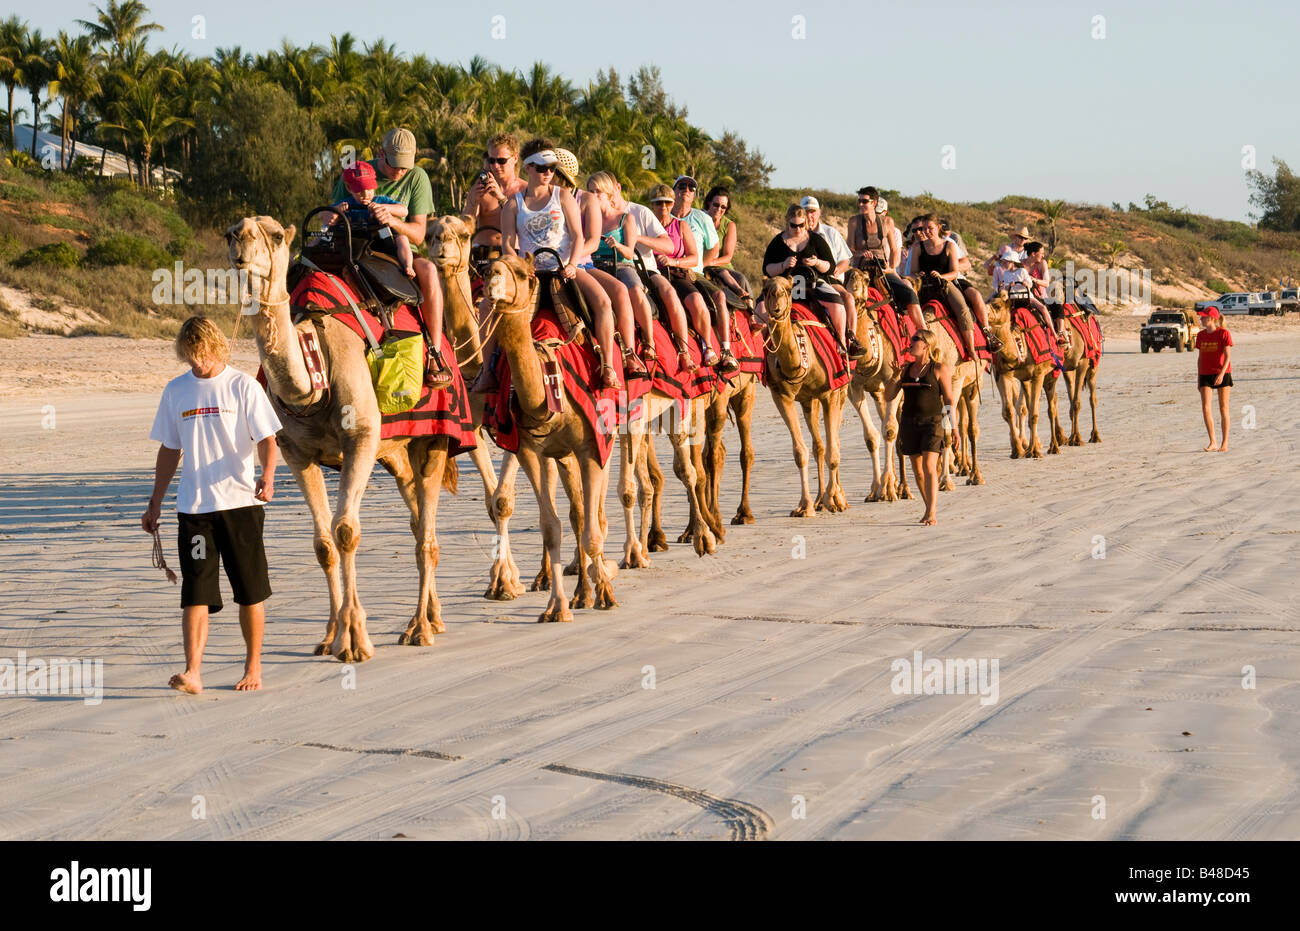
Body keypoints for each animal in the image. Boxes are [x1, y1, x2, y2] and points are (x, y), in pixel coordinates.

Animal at [227, 216, 456, 662]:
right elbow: (323, 544)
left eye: (275, 235)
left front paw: (355, 641)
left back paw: (421, 629)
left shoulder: (361, 437)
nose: (238, 242)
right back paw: (432, 618)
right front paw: (331, 636)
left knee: (427, 535)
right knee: (417, 517)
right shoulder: (296, 452)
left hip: (437, 434)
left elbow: (346, 530)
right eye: (233, 230)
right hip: (396, 451)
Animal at [480, 253, 617, 623]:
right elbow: (551, 528)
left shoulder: (590, 447)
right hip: (561, 455)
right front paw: (557, 606)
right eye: (490, 266)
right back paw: (581, 592)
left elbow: (592, 532)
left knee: (594, 515)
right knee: (577, 513)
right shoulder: (529, 452)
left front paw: (605, 592)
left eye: (521, 272)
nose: (492, 275)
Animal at [760, 276, 849, 517]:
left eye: (788, 288)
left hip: (841, 390)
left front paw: (832, 500)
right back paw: (818, 500)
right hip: (810, 401)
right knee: (819, 445)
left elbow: (833, 451)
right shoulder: (782, 397)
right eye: (766, 289)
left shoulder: (830, 393)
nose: (777, 305)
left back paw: (838, 498)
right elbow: (800, 452)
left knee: (835, 442)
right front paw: (805, 505)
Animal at [843, 267, 904, 502]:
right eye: (845, 277)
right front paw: (877, 488)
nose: (854, 291)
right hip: (879, 393)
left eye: (867, 278)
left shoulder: (895, 378)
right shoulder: (855, 388)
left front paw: (888, 487)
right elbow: (871, 436)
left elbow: (889, 430)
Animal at [985, 293, 1062, 459]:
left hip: (1051, 373)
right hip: (1026, 380)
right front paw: (1017, 450)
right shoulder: (1003, 374)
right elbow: (1009, 411)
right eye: (985, 301)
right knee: (1027, 404)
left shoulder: (1038, 374)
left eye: (997, 306)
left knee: (1051, 406)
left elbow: (1034, 412)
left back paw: (1054, 447)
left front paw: (1034, 451)